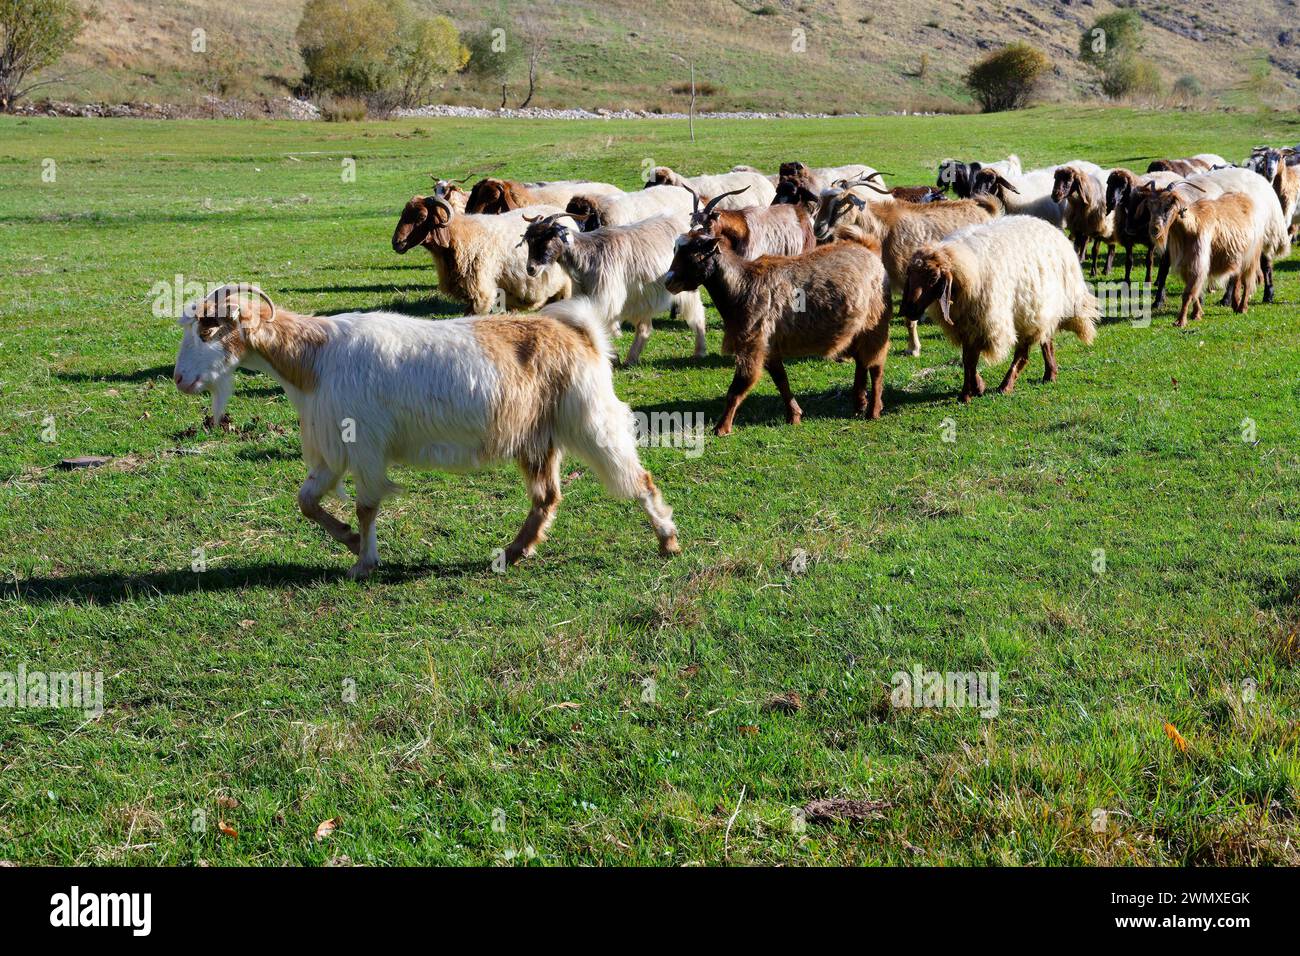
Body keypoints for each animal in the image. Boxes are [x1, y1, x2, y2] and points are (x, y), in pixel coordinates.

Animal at [173, 285, 680, 579]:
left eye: (208, 329)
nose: (180, 379)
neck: (316, 359)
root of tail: (581, 335)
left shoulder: (365, 446)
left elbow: (366, 506)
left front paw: (364, 562)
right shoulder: (333, 451)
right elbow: (307, 502)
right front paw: (351, 543)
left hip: (591, 421)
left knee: (638, 479)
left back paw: (667, 539)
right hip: (539, 438)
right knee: (547, 498)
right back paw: (515, 552)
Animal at [520, 211, 707, 365]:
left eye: (547, 238)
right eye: (529, 241)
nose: (531, 269)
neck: (588, 255)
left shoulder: (605, 298)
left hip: (684, 286)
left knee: (697, 314)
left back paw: (700, 350)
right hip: (644, 298)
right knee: (645, 328)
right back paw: (631, 359)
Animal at [663, 228, 891, 434]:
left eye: (696, 254)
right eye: (675, 249)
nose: (668, 281)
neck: (743, 286)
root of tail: (869, 249)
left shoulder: (752, 343)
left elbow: (737, 388)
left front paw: (721, 428)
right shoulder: (768, 345)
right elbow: (781, 380)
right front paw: (794, 415)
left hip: (875, 324)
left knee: (876, 366)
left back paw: (873, 410)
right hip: (857, 329)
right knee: (862, 361)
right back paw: (859, 403)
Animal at [899, 216, 1098, 403]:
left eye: (933, 278)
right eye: (909, 275)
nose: (909, 310)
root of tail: (1052, 228)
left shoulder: (983, 322)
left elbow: (971, 359)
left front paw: (967, 394)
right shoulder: (967, 325)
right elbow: (967, 360)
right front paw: (976, 388)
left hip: (1029, 311)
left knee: (1023, 353)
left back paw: (1007, 385)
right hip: (1039, 309)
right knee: (1045, 340)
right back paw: (1050, 374)